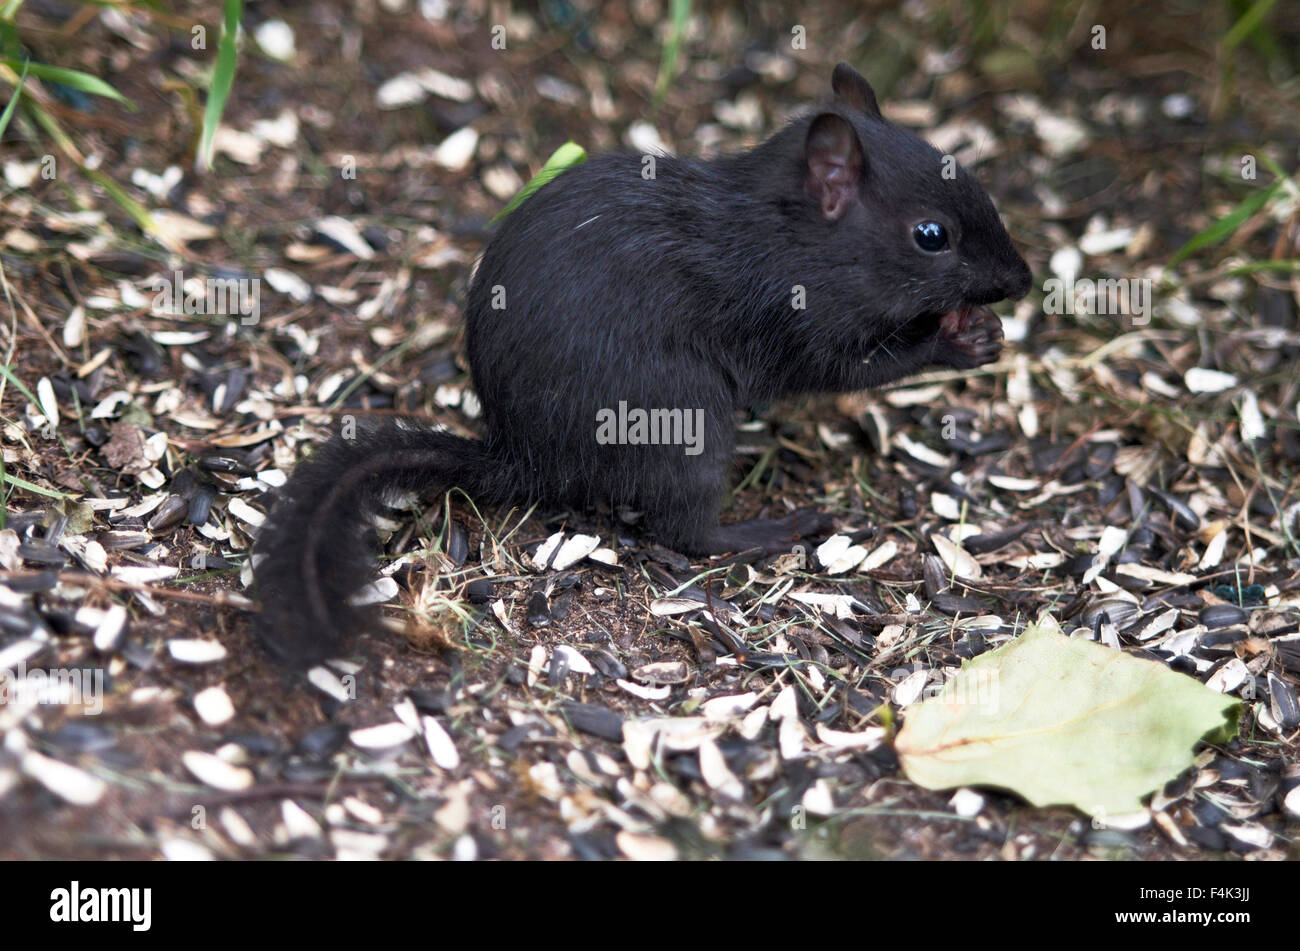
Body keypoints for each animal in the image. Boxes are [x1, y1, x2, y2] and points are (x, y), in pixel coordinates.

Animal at [252, 63, 1032, 667]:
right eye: (931, 235)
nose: (1022, 280)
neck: (795, 233)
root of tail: (527, 456)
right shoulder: (790, 314)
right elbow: (843, 371)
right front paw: (958, 341)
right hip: (681, 413)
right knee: (685, 531)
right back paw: (775, 529)